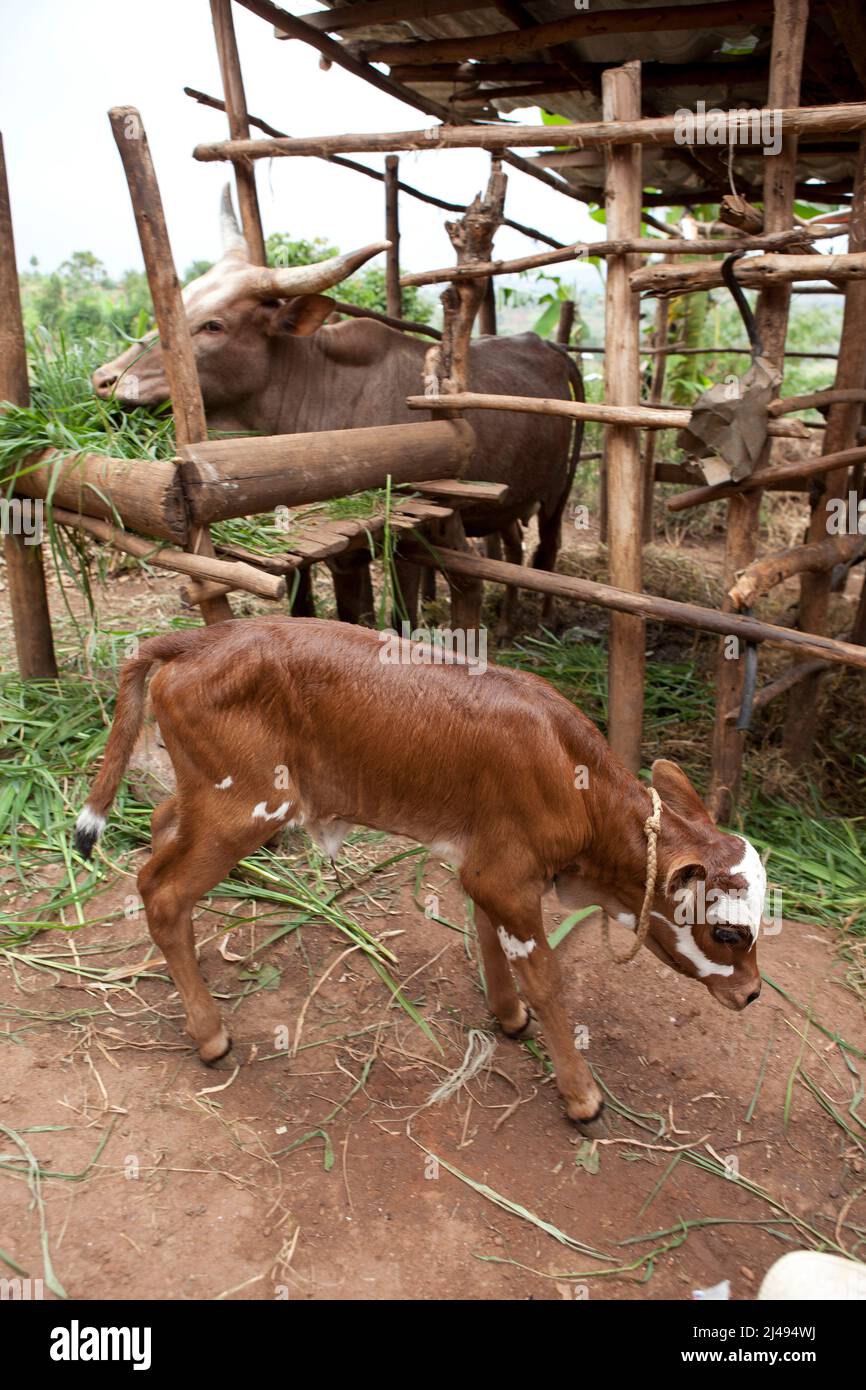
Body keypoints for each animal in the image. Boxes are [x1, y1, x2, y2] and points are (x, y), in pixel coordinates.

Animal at [74, 619, 765, 1132]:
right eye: (728, 933)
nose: (754, 995)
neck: (579, 785)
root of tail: (201, 638)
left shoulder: (486, 866)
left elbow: (488, 939)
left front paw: (508, 1017)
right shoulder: (509, 877)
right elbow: (546, 979)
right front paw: (581, 1096)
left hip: (208, 799)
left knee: (161, 824)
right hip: (244, 808)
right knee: (160, 891)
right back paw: (211, 1035)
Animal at [93, 188, 584, 628]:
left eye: (214, 325)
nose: (106, 380)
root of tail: (553, 348)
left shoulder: (406, 542)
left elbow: (393, 618)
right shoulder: (340, 557)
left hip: (557, 493)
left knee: (547, 549)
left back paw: (542, 622)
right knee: (515, 545)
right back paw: (504, 625)